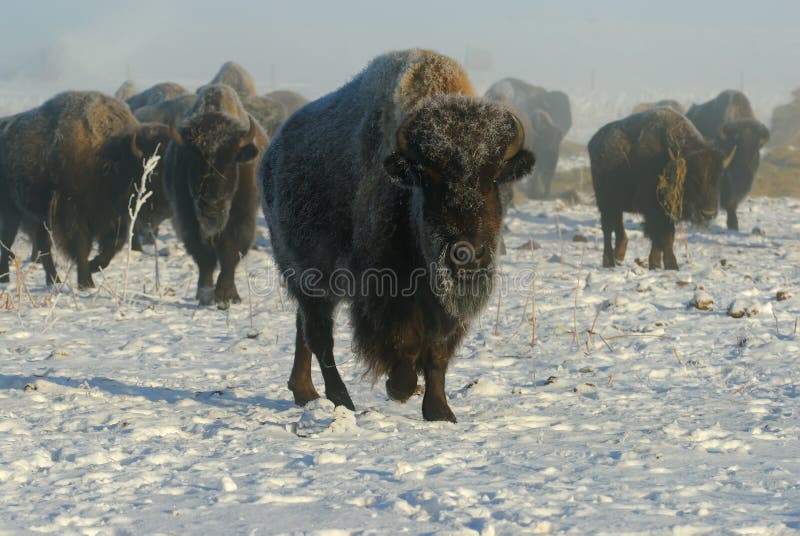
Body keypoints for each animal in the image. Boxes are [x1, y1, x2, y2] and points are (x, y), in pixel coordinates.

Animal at [0, 91, 171, 288]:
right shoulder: (73, 214)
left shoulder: (115, 216)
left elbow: (114, 244)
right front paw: (86, 282)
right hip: (12, 214)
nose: (167, 209)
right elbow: (82, 246)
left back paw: (54, 281)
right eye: (154, 170)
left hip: (40, 219)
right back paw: (5, 279)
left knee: (43, 247)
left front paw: (94, 266)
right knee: (7, 242)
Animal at [163, 84, 268, 309]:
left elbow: (230, 254)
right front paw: (204, 294)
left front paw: (227, 296)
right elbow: (204, 258)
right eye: (194, 160)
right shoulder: (188, 221)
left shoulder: (242, 220)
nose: (211, 206)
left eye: (231, 161)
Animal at [259, 49, 534, 422]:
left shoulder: (442, 307)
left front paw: (439, 411)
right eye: (429, 179)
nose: (466, 253)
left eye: (493, 178)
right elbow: (403, 344)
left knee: (305, 331)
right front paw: (399, 388)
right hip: (306, 277)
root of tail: (270, 156)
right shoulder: (383, 292)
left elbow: (436, 353)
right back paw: (341, 399)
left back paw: (305, 393)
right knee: (320, 337)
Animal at [589, 108, 734, 270]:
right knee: (607, 228)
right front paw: (672, 265)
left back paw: (619, 255)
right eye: (692, 178)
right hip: (605, 202)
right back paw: (608, 262)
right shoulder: (654, 210)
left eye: (718, 178)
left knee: (617, 225)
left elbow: (662, 237)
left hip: (616, 203)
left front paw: (656, 264)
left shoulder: (664, 212)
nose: (708, 213)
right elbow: (664, 236)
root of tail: (595, 141)